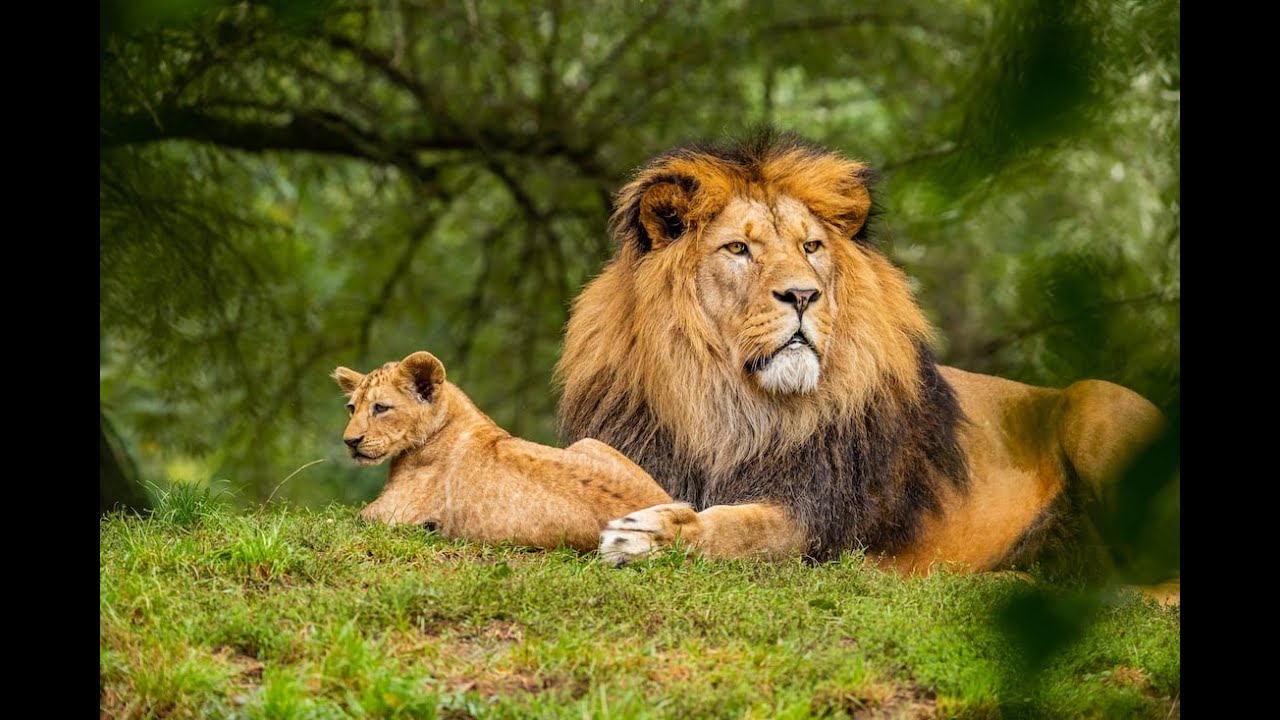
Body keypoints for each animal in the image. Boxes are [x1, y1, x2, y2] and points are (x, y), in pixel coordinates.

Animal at [332, 350, 673, 550]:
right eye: (351, 408)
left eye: (380, 408)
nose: (350, 441)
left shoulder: (389, 513)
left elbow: (345, 519)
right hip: (588, 442)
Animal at [555, 130, 1177, 600]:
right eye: (738, 249)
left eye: (810, 247)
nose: (803, 295)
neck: (730, 405)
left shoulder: (816, 518)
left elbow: (740, 527)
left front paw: (651, 534)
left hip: (1098, 402)